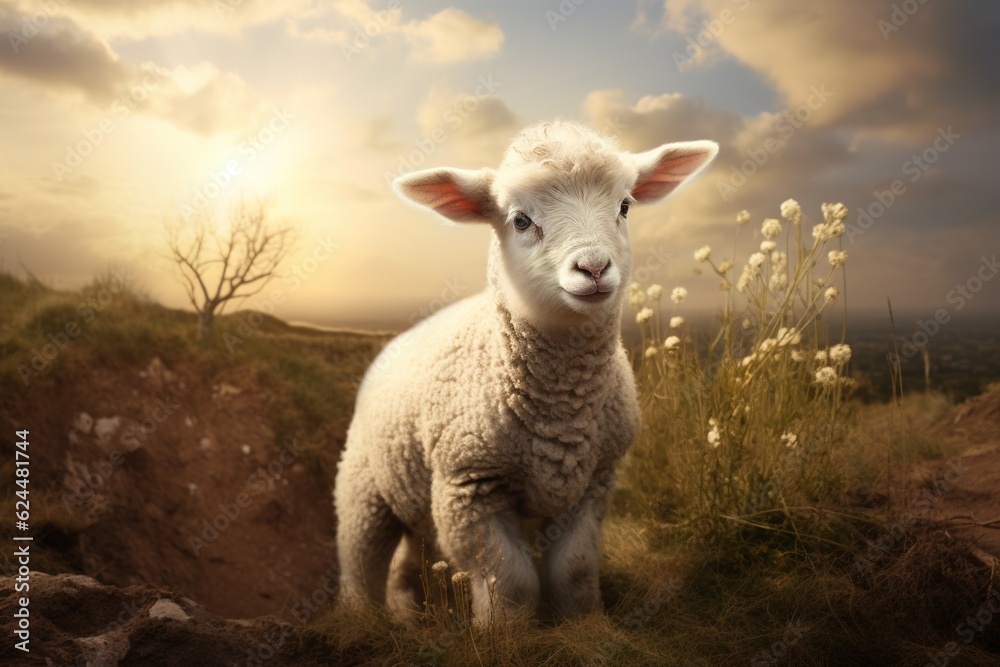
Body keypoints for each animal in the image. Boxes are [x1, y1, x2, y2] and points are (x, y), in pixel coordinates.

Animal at [335, 121, 717, 622]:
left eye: (624, 206)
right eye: (520, 220)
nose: (594, 267)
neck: (561, 410)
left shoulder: (594, 482)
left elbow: (574, 569)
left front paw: (583, 625)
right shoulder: (469, 488)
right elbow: (512, 581)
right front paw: (504, 633)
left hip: (414, 495)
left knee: (404, 563)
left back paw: (407, 616)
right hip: (363, 484)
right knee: (360, 561)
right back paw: (362, 621)